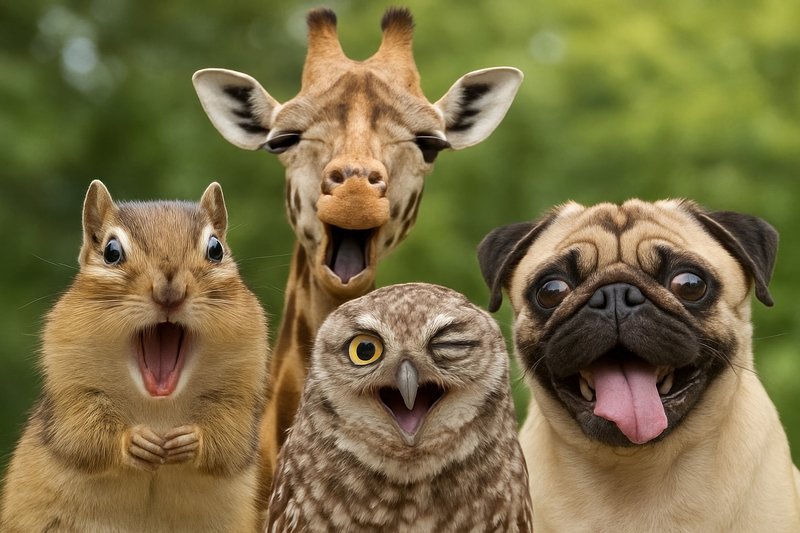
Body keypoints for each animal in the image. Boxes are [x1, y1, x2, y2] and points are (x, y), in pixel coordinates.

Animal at [0, 180, 270, 532]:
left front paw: (190, 440)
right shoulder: (71, 395)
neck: (158, 409)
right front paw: (134, 441)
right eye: (112, 252)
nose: (169, 292)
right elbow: (84, 436)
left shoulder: (237, 398)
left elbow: (229, 442)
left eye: (216, 250)